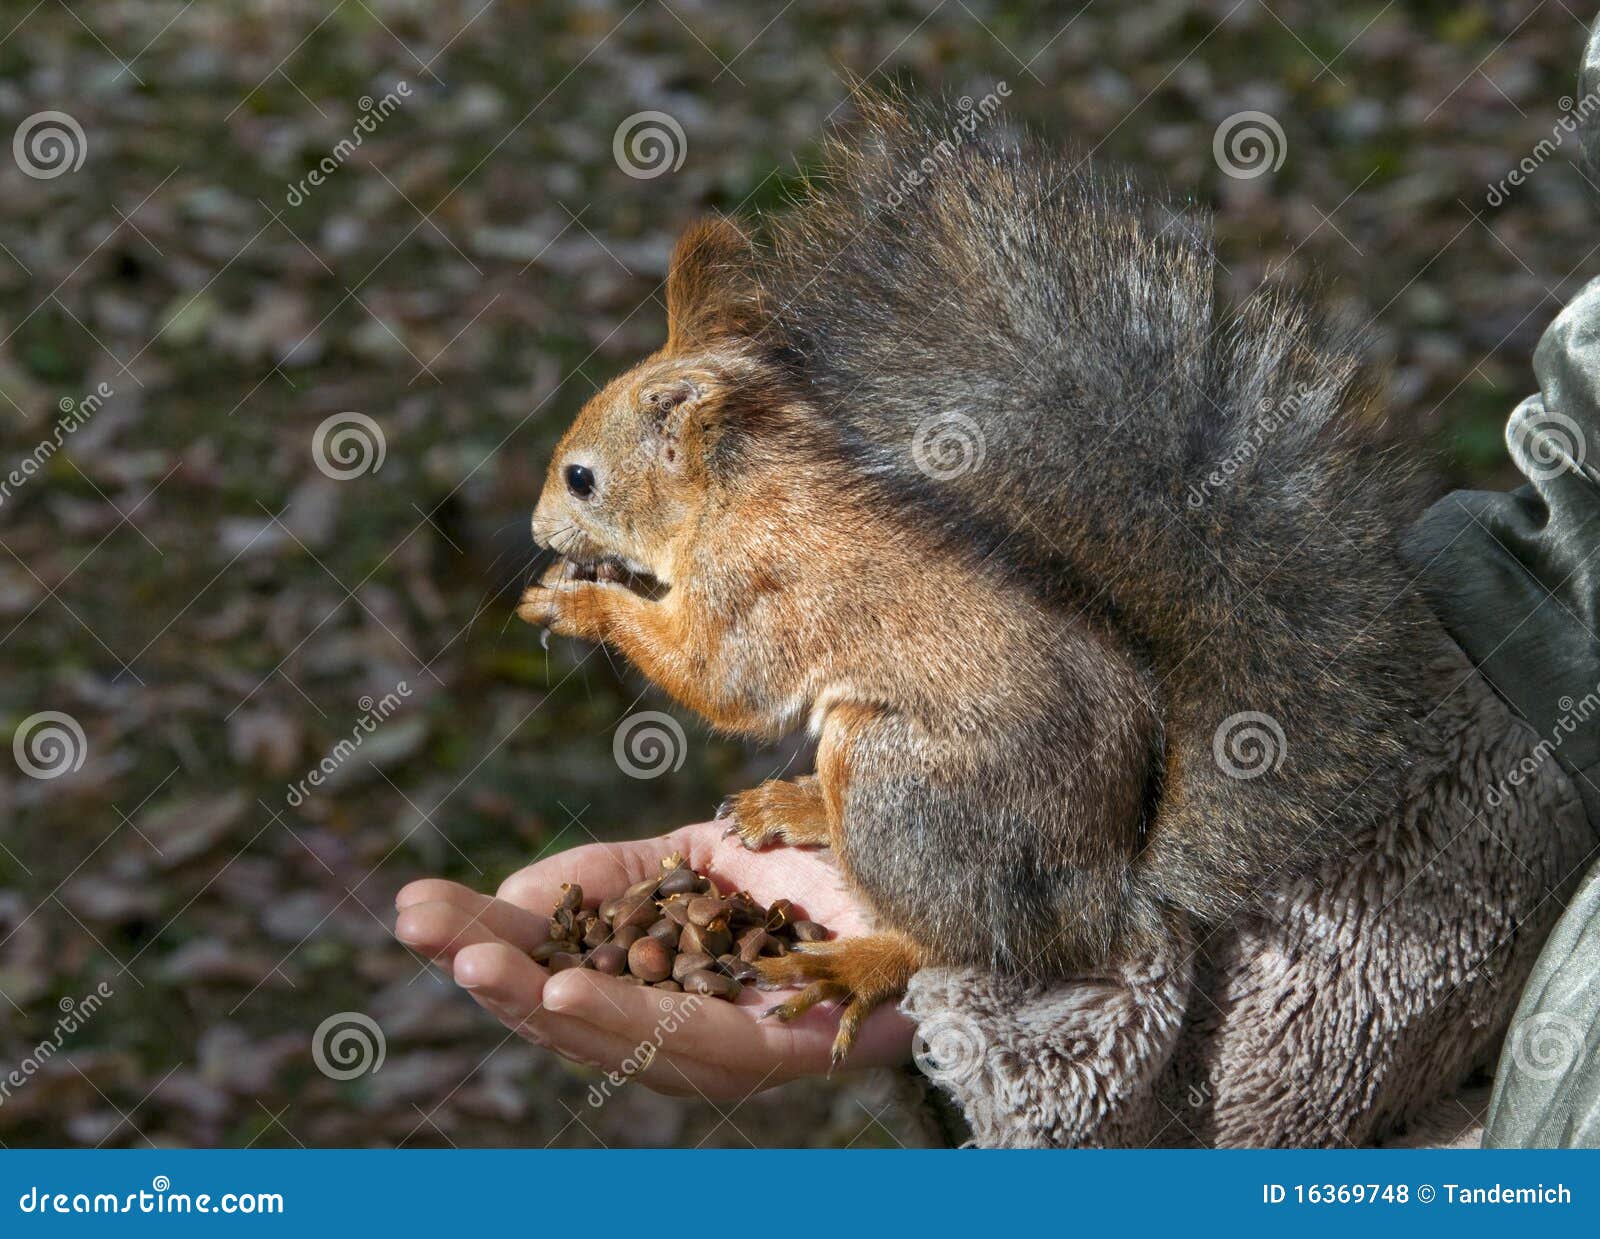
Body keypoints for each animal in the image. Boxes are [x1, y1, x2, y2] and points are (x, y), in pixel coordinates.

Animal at [518, 96, 1434, 1065]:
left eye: (581, 478)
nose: (536, 530)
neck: (733, 481)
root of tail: (1102, 900)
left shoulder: (752, 587)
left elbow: (719, 681)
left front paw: (576, 602)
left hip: (904, 785)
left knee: (952, 938)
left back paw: (859, 960)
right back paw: (800, 808)